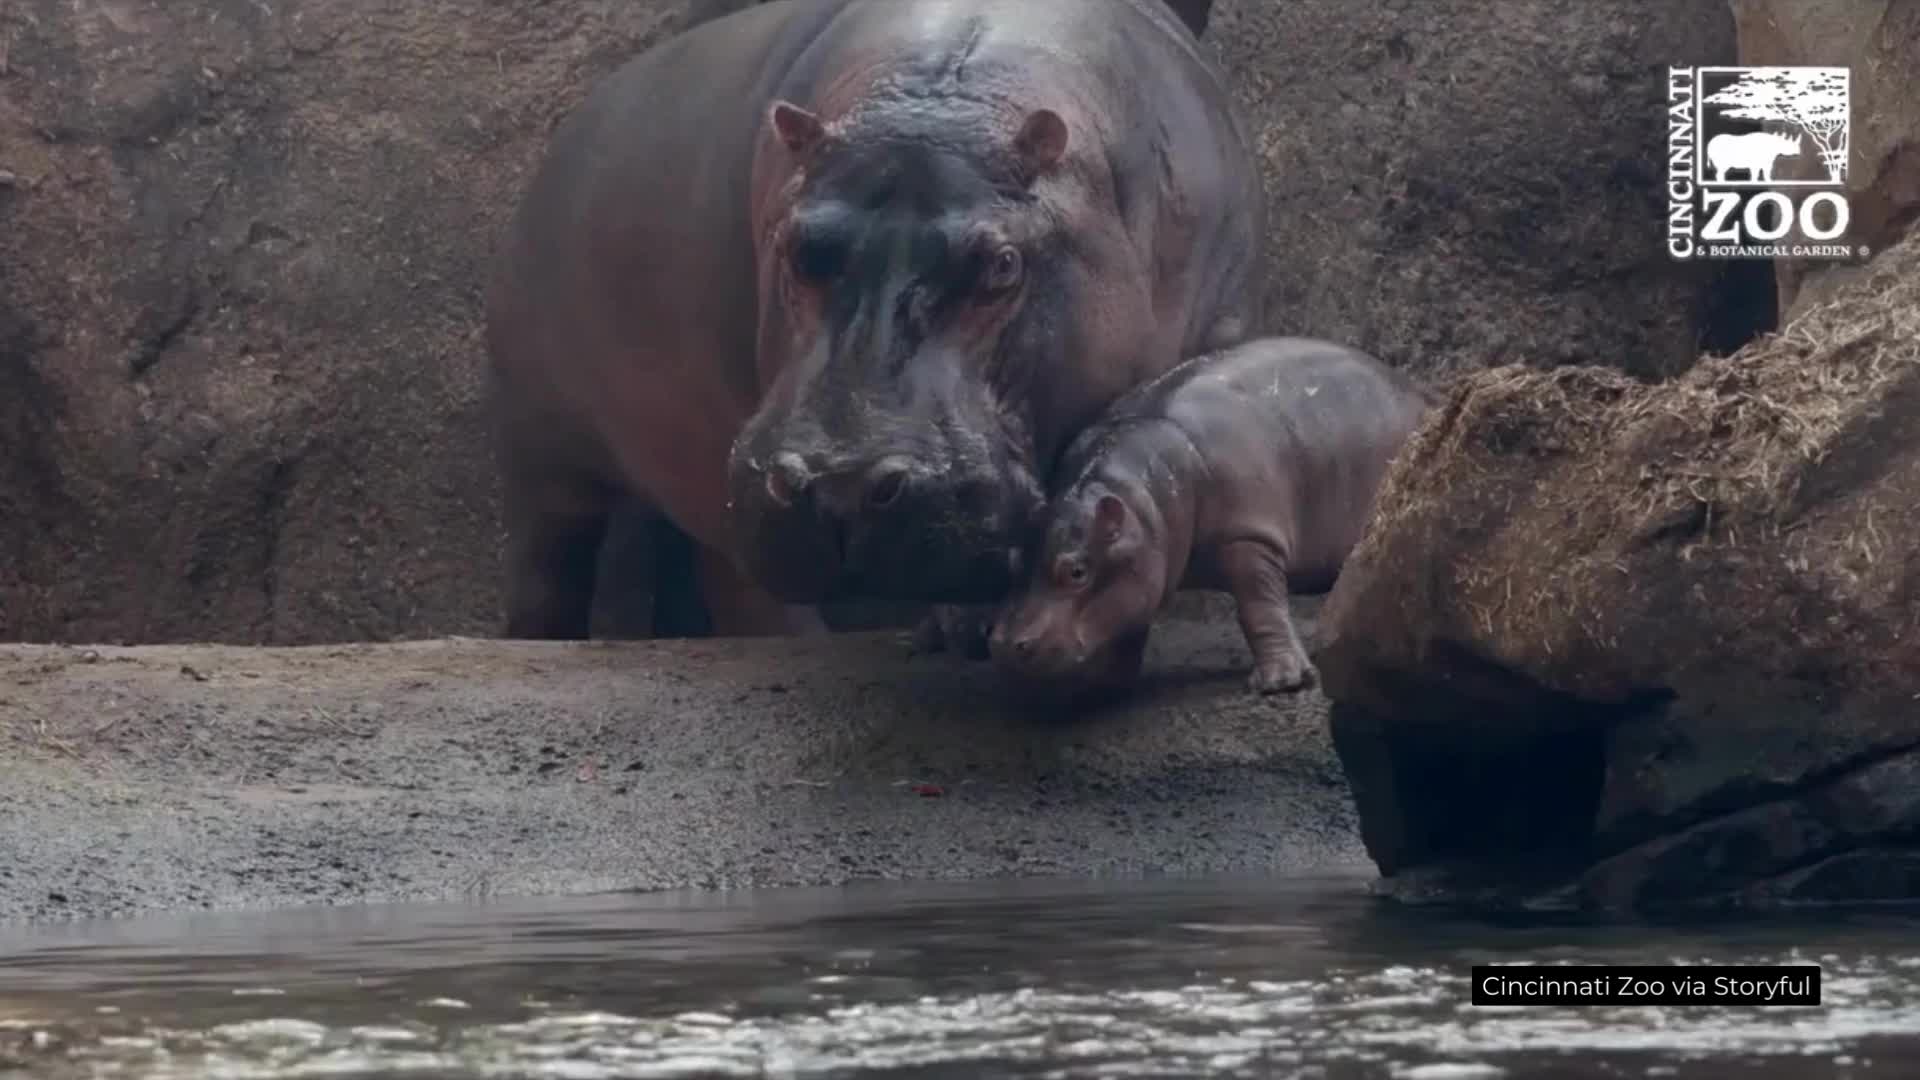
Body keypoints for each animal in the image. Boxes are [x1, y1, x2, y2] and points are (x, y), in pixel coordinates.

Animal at [485, 0, 1264, 641]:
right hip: (549, 447)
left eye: (1003, 264)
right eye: (793, 245)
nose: (842, 485)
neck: (945, 98)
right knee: (567, 565)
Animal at [989, 337, 1433, 698]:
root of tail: (1426, 397)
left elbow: (1260, 607)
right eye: (1012, 562)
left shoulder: (1248, 536)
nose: (1002, 644)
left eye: (1076, 571)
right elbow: (1131, 616)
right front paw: (1106, 686)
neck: (1141, 493)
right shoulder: (1145, 557)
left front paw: (1281, 683)